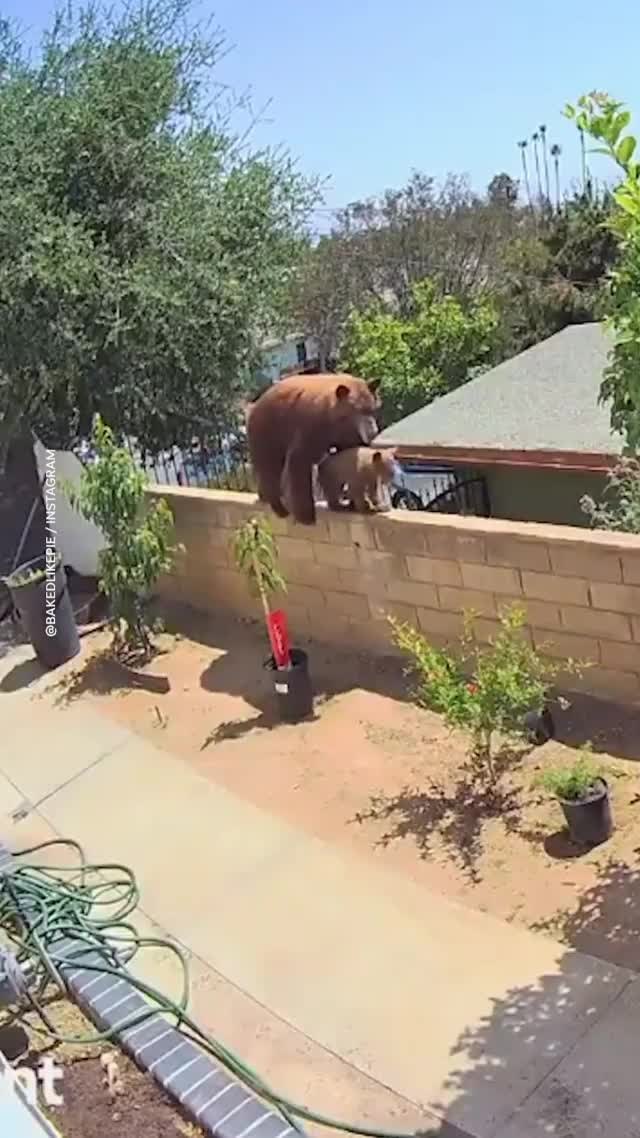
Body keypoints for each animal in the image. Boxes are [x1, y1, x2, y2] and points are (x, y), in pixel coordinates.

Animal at [246, 373, 380, 525]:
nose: (373, 431)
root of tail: (255, 404)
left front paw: (355, 503)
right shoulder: (311, 426)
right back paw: (279, 507)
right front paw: (306, 515)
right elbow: (299, 459)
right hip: (268, 431)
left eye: (373, 409)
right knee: (269, 465)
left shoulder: (347, 434)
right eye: (358, 410)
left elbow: (348, 459)